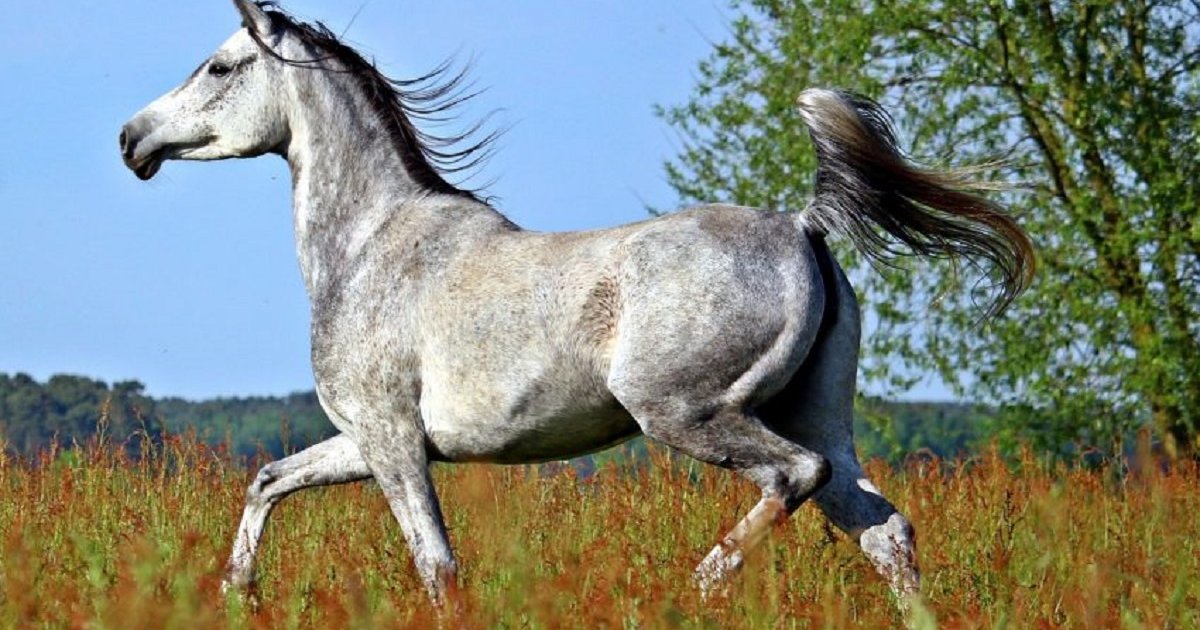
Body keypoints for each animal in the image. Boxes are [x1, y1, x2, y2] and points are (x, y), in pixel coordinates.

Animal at [119, 0, 1034, 609]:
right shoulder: (366, 440)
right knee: (885, 532)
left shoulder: (392, 442)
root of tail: (804, 227)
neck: (372, 242)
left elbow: (436, 567)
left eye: (220, 66)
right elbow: (268, 480)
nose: (132, 139)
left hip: (687, 413)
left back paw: (698, 586)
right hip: (818, 417)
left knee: (794, 478)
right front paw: (237, 593)